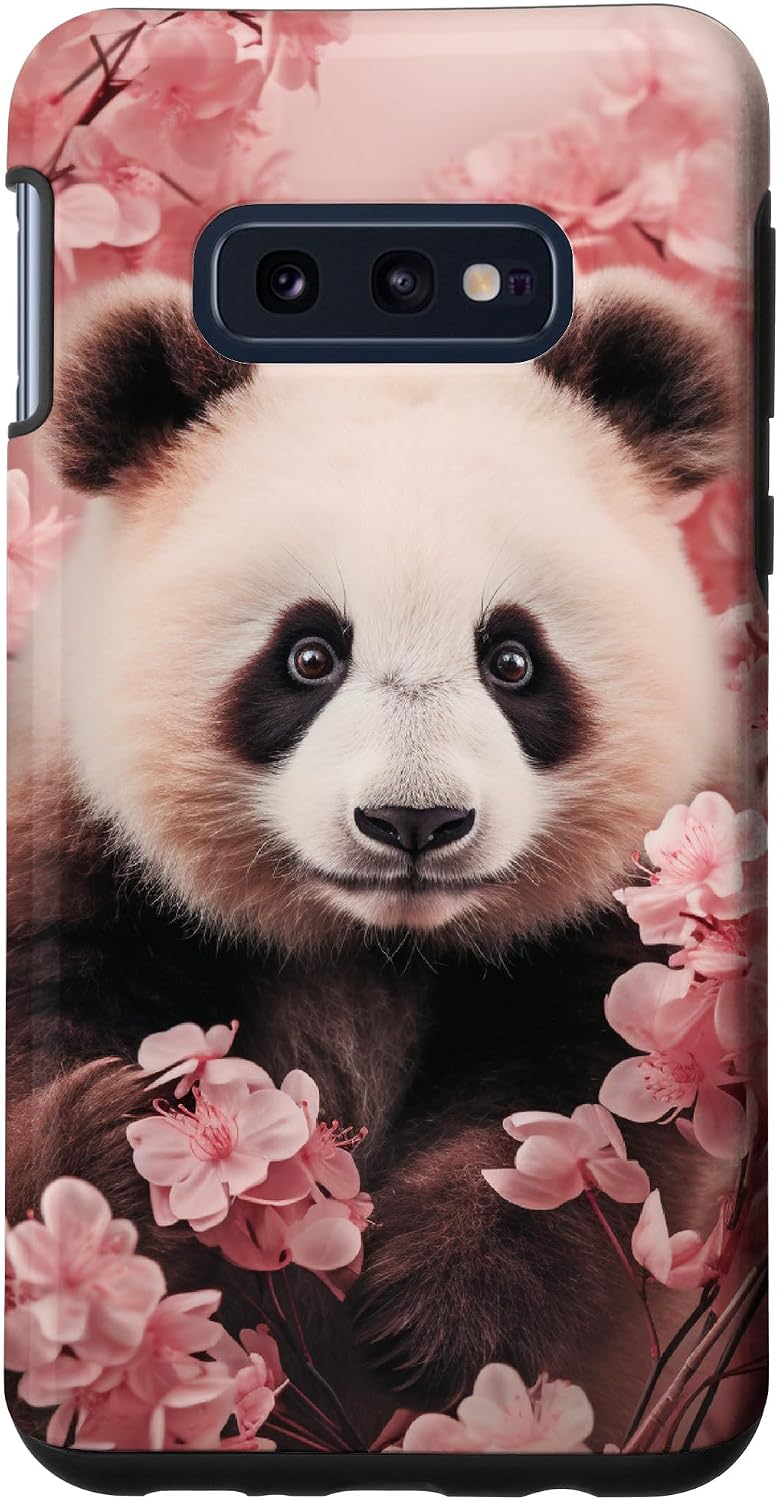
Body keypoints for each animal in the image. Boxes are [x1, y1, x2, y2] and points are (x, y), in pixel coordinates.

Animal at [6, 269, 734, 1442]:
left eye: (513, 658)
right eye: (310, 654)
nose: (414, 823)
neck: (369, 944)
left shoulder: (620, 930)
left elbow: (579, 1138)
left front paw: (439, 1315)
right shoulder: (77, 864)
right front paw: (120, 1160)